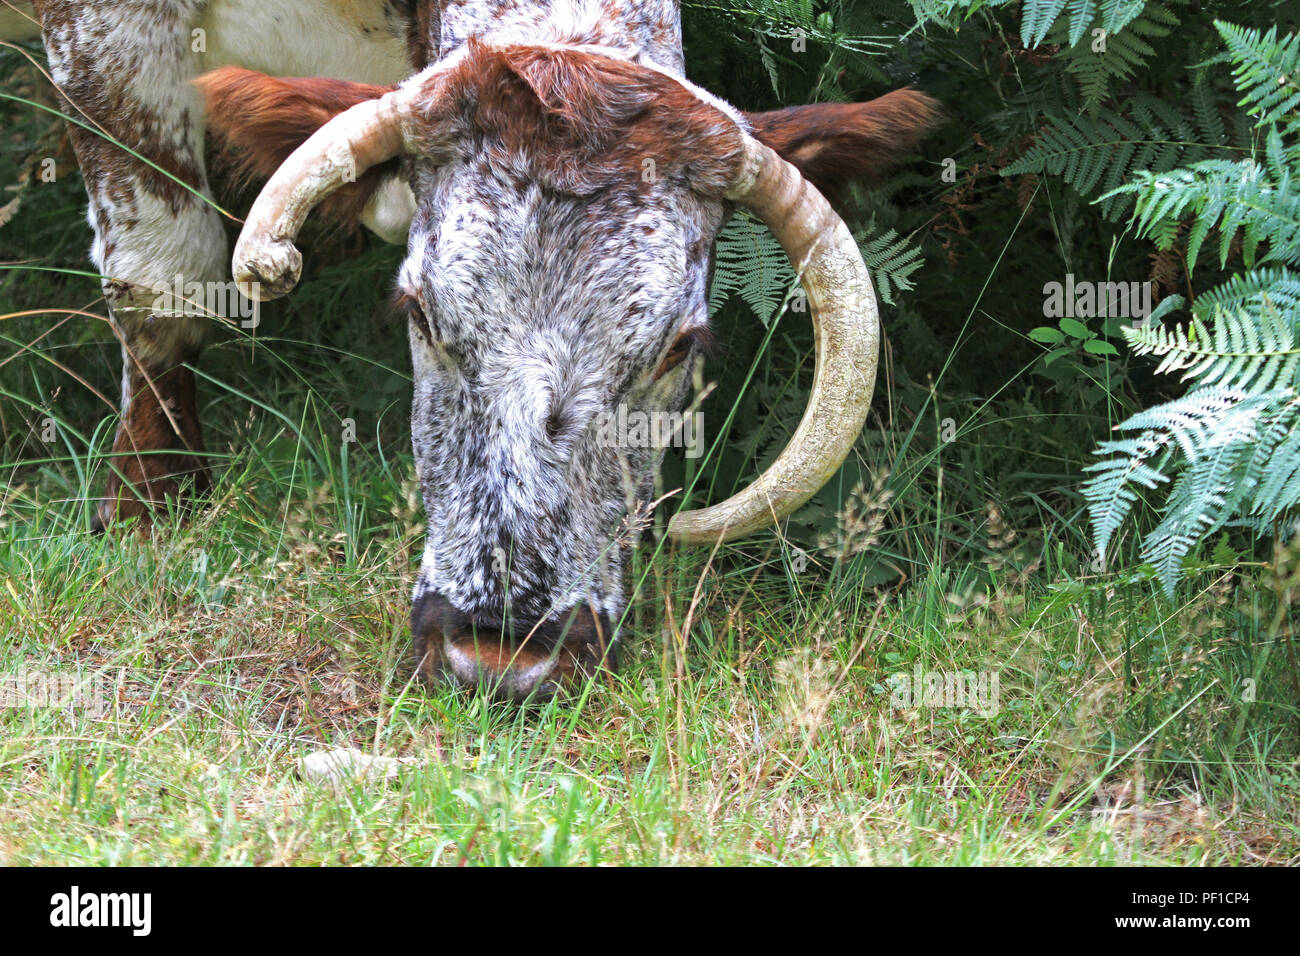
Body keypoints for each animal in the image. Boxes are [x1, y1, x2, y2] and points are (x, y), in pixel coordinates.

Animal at [12, 1, 937, 699]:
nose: (499, 655)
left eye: (680, 348)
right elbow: (163, 277)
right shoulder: (106, 35)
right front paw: (148, 509)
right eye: (420, 312)